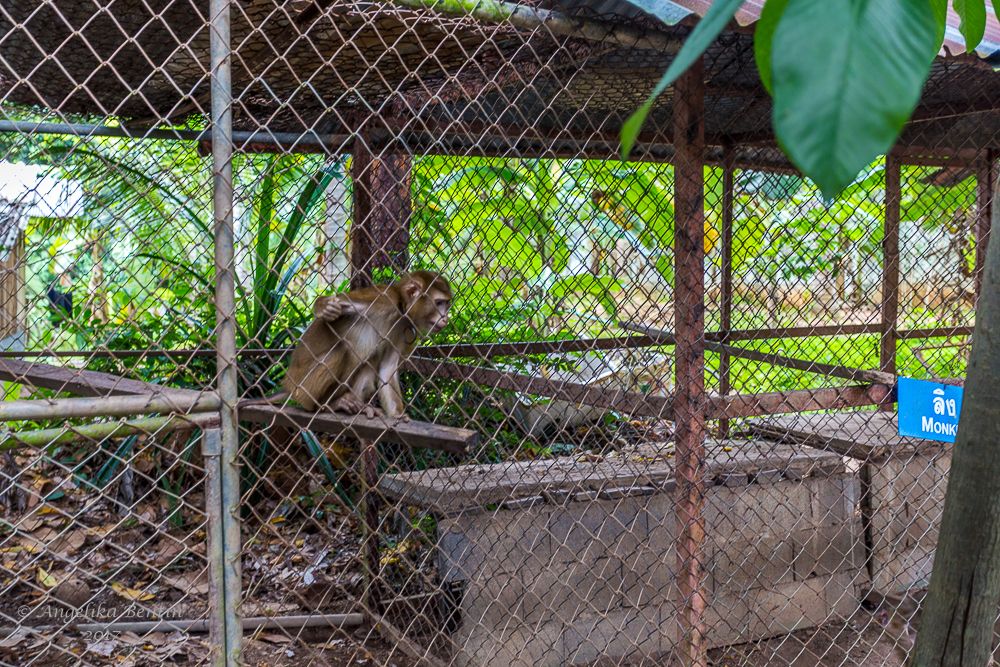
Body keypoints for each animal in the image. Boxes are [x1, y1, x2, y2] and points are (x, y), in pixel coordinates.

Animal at [241, 271, 452, 421]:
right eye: (438, 303)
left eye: (447, 304)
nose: (446, 318)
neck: (401, 309)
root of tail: (290, 385)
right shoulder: (382, 299)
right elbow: (342, 302)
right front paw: (324, 306)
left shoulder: (406, 327)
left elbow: (387, 368)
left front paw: (397, 414)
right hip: (304, 386)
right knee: (344, 348)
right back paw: (324, 405)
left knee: (370, 359)